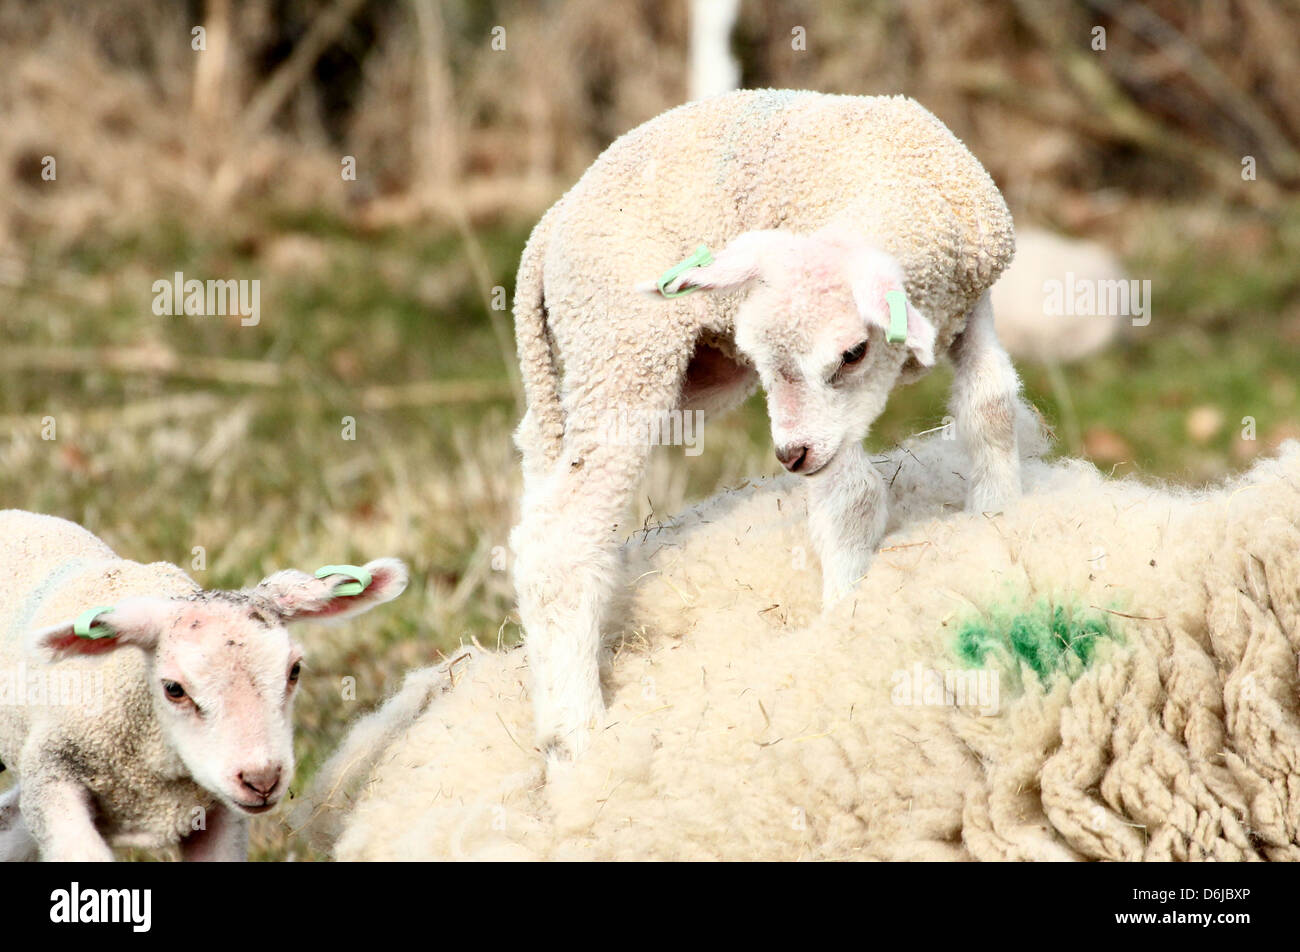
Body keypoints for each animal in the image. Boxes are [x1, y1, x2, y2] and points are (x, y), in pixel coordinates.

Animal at [510, 88, 1020, 757]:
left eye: (854, 352)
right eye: (762, 353)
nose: (790, 458)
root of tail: (550, 223)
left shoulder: (967, 302)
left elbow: (991, 405)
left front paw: (995, 515)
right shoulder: (828, 430)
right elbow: (853, 499)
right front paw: (846, 616)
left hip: (670, 373)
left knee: (537, 492)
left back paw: (548, 713)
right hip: (622, 343)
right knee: (563, 536)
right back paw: (579, 730)